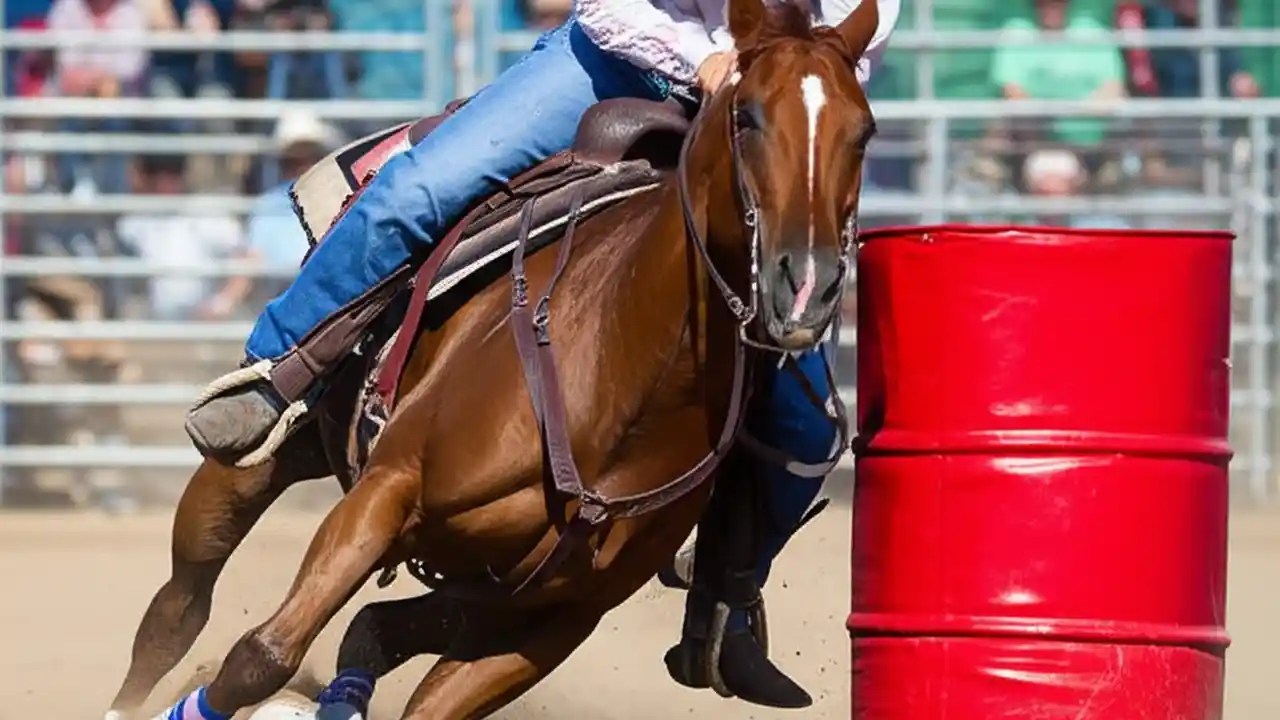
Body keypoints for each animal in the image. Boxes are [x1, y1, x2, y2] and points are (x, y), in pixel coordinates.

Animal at [109, 2, 878, 717]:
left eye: (863, 131)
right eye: (746, 117)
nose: (805, 285)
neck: (625, 386)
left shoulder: (550, 619)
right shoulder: (386, 492)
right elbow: (261, 656)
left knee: (371, 627)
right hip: (262, 459)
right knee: (179, 605)